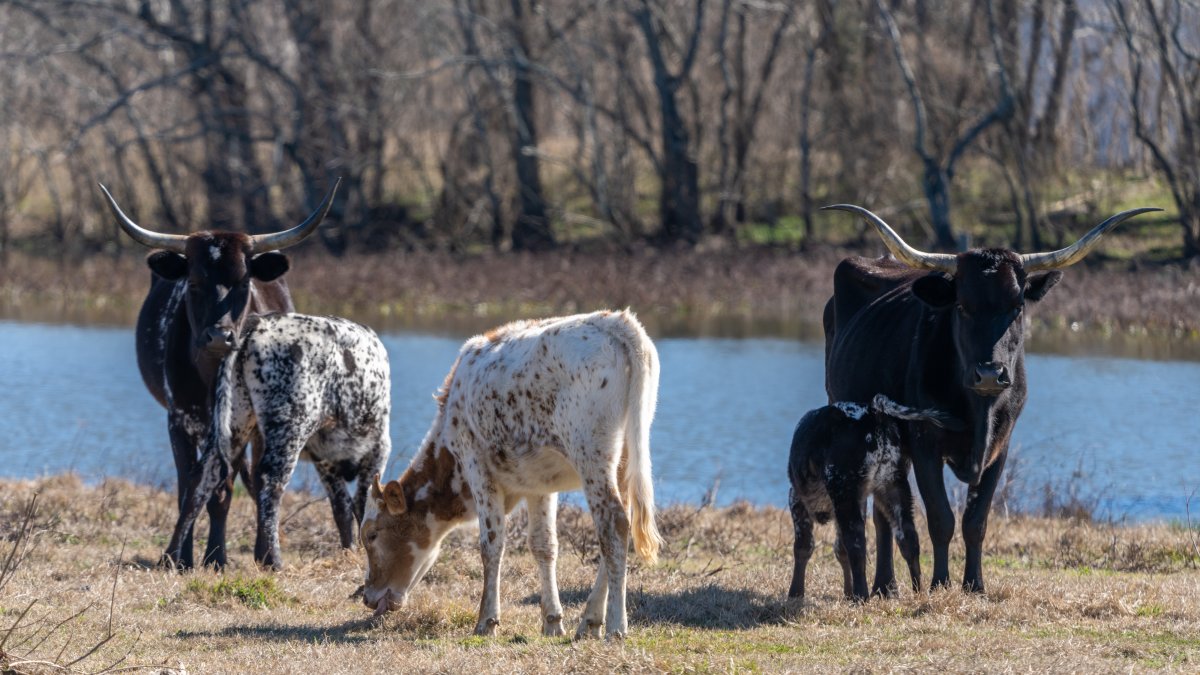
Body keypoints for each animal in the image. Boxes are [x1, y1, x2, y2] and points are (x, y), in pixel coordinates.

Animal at [99, 180, 339, 569]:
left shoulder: (239, 425)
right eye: (194, 282)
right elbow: (189, 486)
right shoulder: (179, 419)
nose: (219, 336)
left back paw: (263, 552)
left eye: (244, 283)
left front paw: (219, 557)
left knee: (255, 480)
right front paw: (183, 558)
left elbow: (225, 489)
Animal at [164, 313, 391, 570]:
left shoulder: (324, 462)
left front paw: (349, 550)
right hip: (289, 428)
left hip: (234, 422)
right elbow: (363, 501)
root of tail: (259, 322)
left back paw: (171, 557)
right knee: (269, 484)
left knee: (200, 480)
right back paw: (273, 560)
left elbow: (341, 506)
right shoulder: (379, 448)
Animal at [359, 310, 662, 640]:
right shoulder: (539, 484)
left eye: (371, 535)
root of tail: (615, 322)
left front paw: (486, 621)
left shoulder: (477, 467)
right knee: (622, 524)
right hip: (625, 458)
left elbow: (491, 545)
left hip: (590, 455)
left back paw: (616, 627)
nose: (367, 596)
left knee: (613, 524)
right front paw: (552, 621)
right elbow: (544, 545)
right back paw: (590, 622)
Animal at [787, 394, 964, 602]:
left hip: (844, 488)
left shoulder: (797, 498)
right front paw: (846, 592)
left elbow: (804, 545)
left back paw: (861, 596)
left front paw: (795, 594)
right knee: (908, 537)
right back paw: (918, 591)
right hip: (894, 485)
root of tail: (875, 414)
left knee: (856, 542)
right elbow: (839, 549)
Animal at [821, 204, 1159, 594]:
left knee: (883, 509)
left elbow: (976, 521)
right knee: (881, 512)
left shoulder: (1001, 446)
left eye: (1017, 306)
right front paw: (940, 583)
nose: (988, 374)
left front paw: (975, 585)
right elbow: (941, 518)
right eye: (962, 306)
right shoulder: (925, 445)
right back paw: (884, 586)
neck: (978, 409)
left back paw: (886, 586)